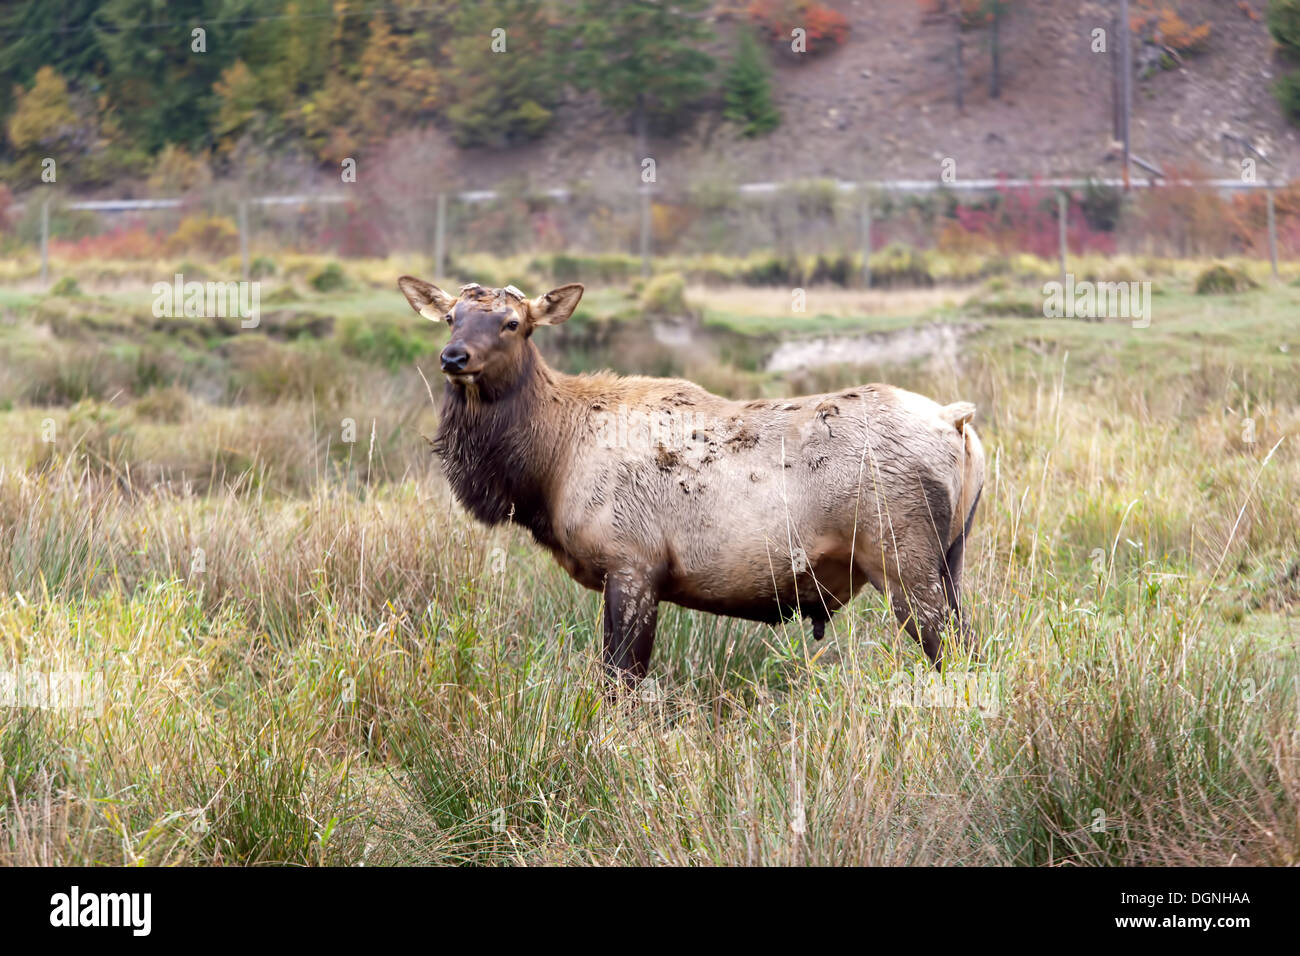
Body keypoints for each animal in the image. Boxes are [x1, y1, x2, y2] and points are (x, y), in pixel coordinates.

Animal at [398, 276, 985, 685]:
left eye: (512, 324)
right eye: (450, 317)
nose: (454, 357)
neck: (550, 467)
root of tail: (958, 423)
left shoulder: (633, 563)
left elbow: (621, 683)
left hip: (902, 559)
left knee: (954, 652)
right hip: (950, 559)